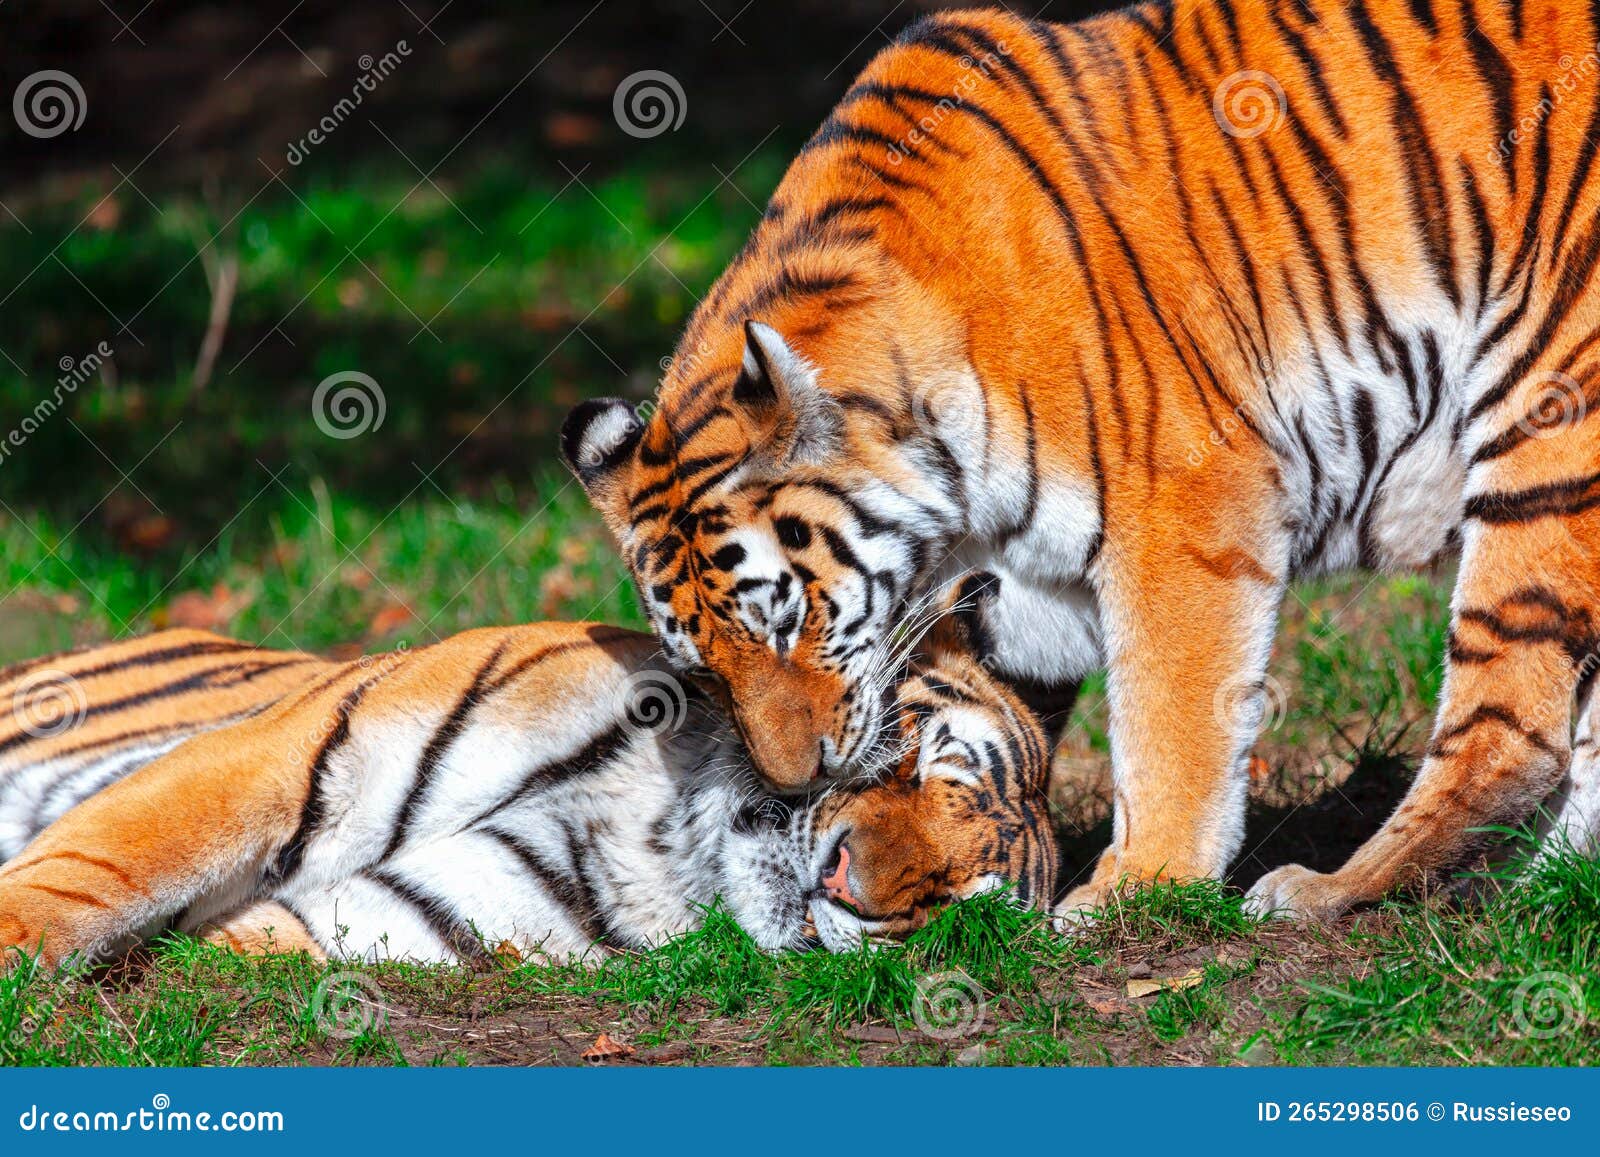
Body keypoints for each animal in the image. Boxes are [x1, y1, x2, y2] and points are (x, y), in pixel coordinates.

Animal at [0, 574, 1056, 967]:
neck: (661, 835)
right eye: (918, 752)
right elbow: (88, 881)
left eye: (948, 905)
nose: (844, 880)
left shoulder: (369, 913)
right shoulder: (279, 758)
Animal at [560, 0, 1600, 923]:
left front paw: (1138, 884)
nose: (793, 783)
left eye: (784, 623)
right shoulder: (1023, 594)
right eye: (701, 672)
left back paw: (1329, 892)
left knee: (1513, 730)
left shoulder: (1190, 510)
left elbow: (1171, 722)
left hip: (1547, 429)